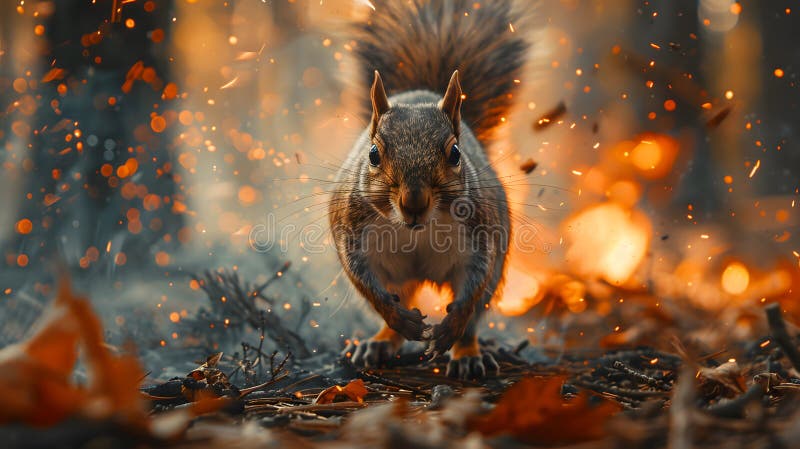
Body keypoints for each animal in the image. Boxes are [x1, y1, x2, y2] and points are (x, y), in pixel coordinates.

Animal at [329, 0, 528, 380]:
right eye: (373, 154)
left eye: (455, 153)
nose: (414, 203)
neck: (418, 230)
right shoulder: (352, 231)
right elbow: (365, 282)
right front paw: (396, 319)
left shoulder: (482, 235)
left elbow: (474, 284)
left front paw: (452, 329)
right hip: (393, 273)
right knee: (397, 298)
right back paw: (382, 339)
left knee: (474, 316)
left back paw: (467, 353)